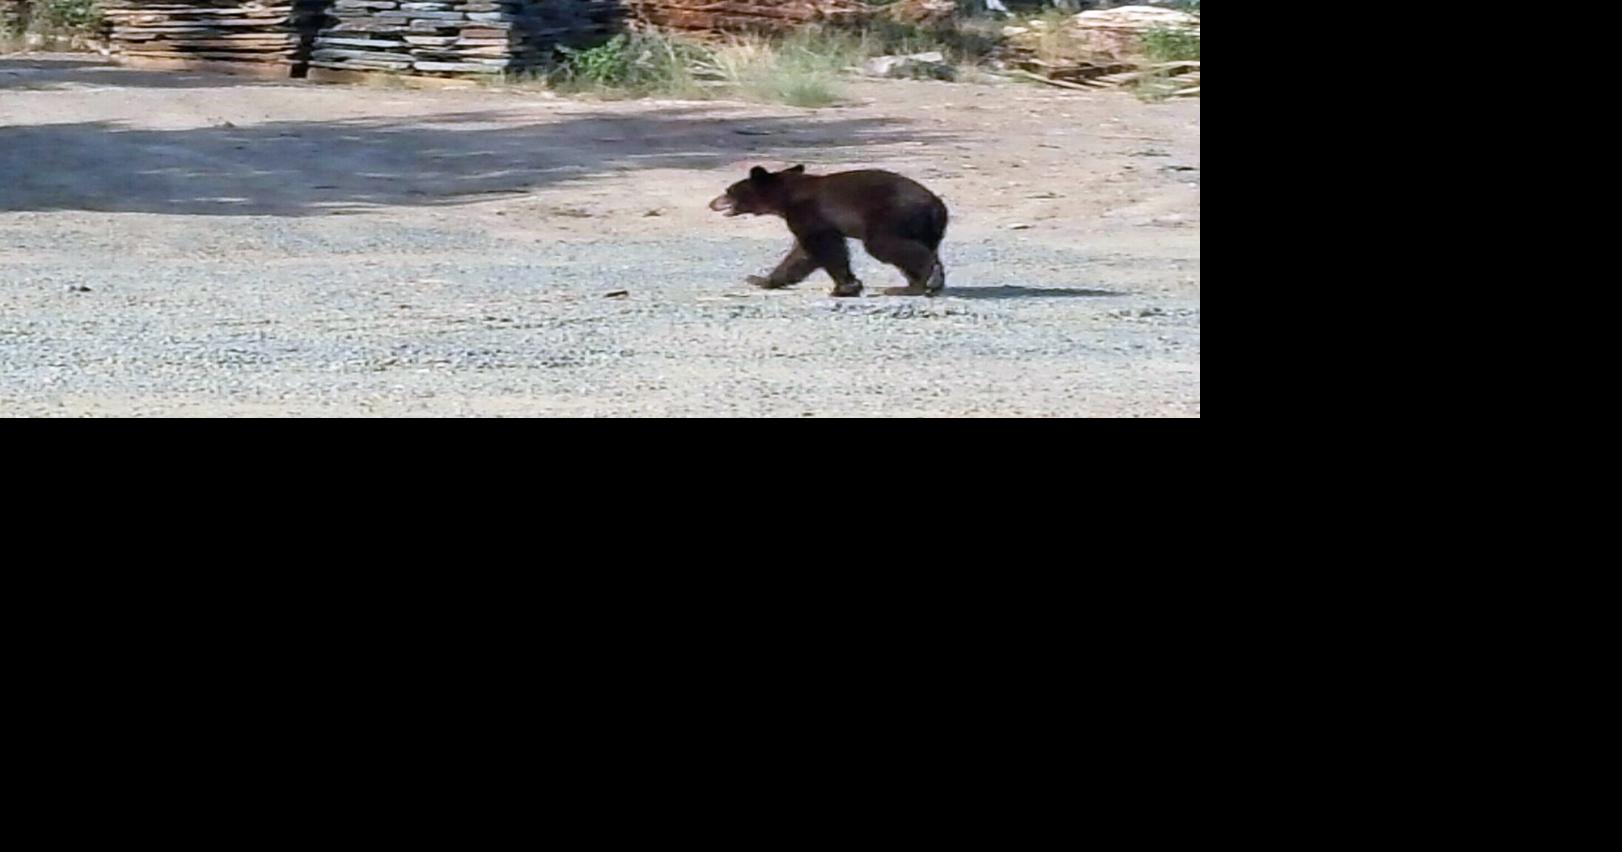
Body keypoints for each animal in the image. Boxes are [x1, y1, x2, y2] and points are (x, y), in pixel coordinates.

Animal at [708, 165, 949, 297]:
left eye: (728, 190)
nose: (711, 203)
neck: (786, 199)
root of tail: (937, 206)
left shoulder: (811, 213)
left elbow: (823, 246)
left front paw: (846, 287)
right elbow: (801, 255)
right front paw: (761, 279)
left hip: (893, 215)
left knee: (883, 245)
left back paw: (917, 283)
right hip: (925, 229)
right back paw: (924, 282)